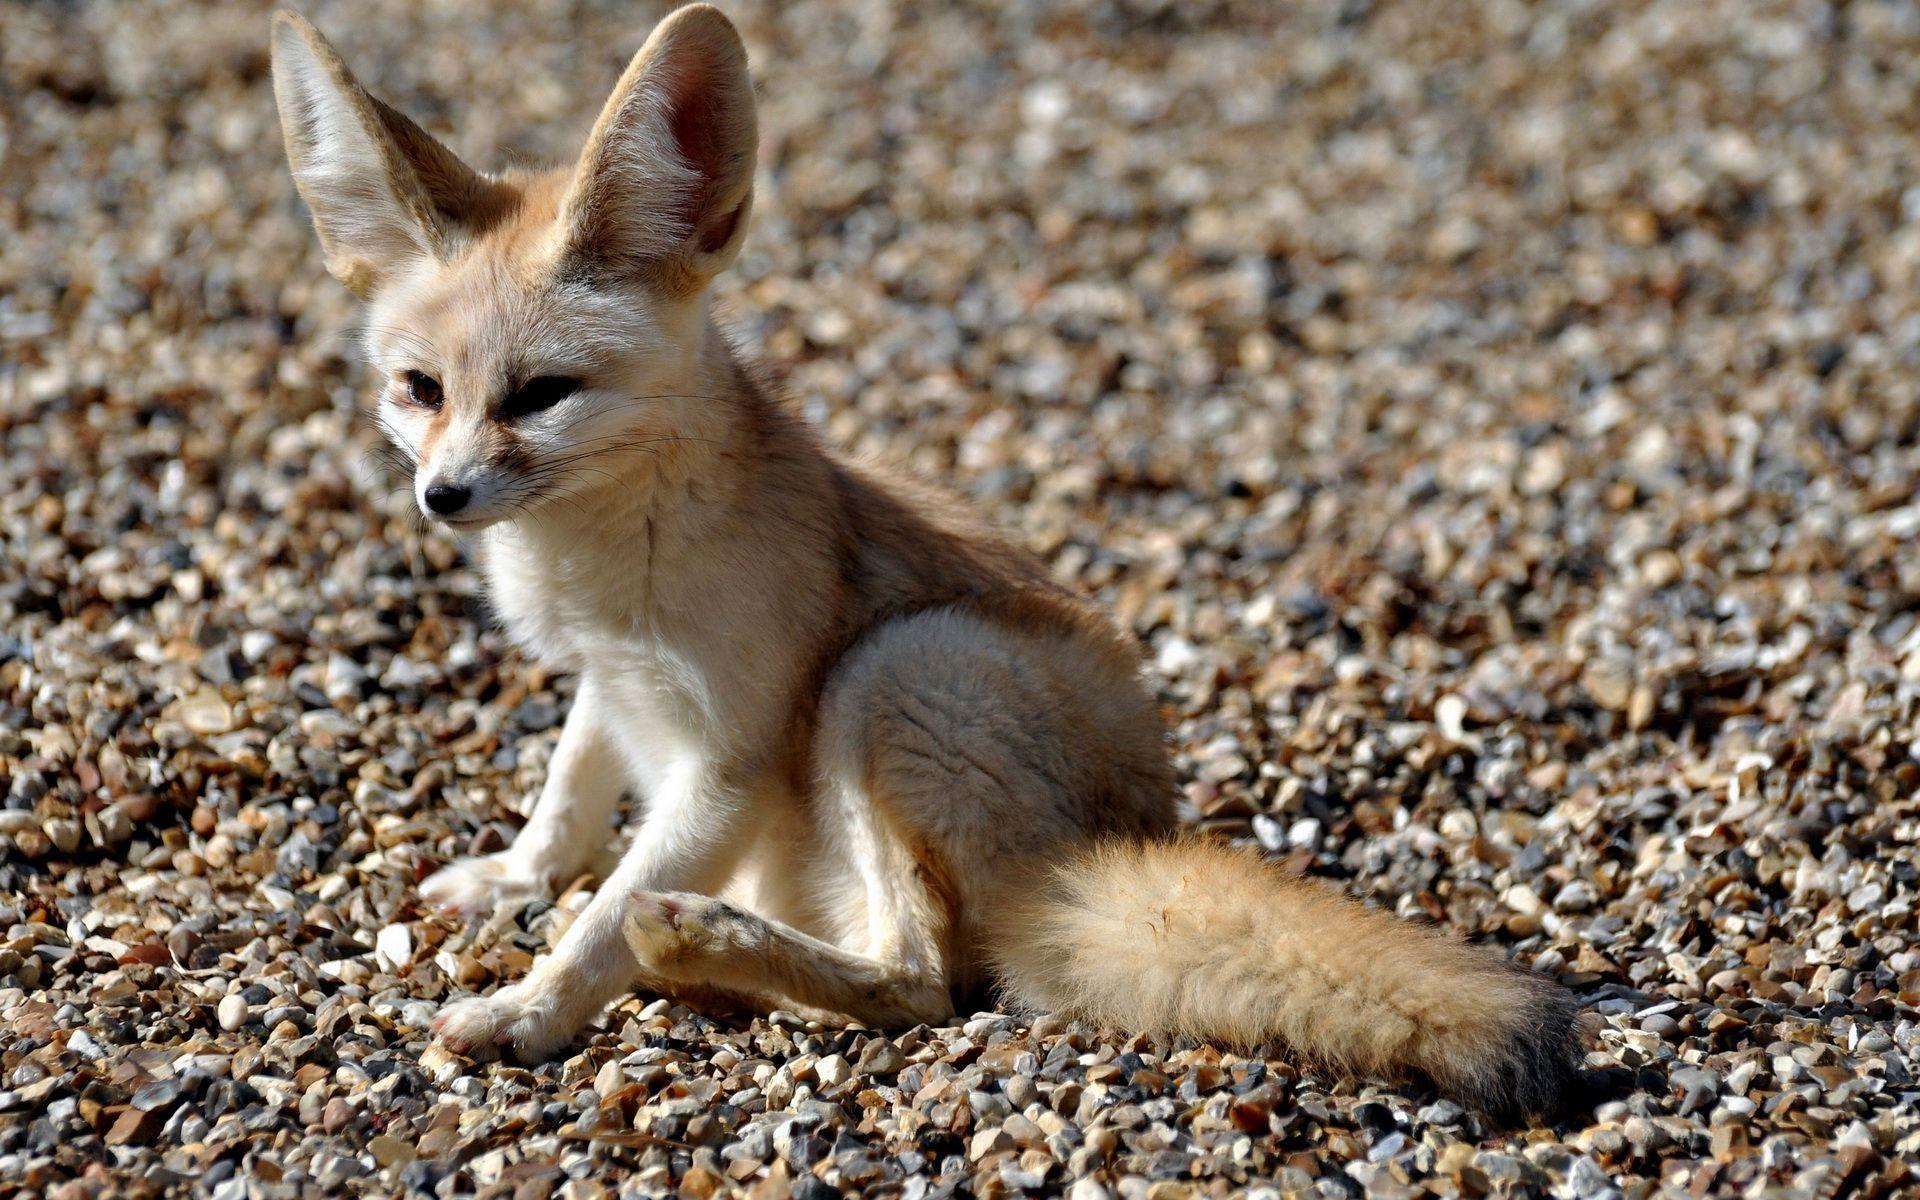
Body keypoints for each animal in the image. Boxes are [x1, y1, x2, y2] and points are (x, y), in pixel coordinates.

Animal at [269, 4, 1586, 1120]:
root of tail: (1095, 860)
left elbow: (594, 922)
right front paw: (513, 878)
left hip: (895, 671)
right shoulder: (610, 680)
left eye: (542, 395)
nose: (443, 497)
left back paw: (696, 945)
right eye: (420, 390)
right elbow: (567, 799)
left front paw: (529, 1011)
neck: (599, 554)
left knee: (921, 983)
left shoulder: (729, 764)